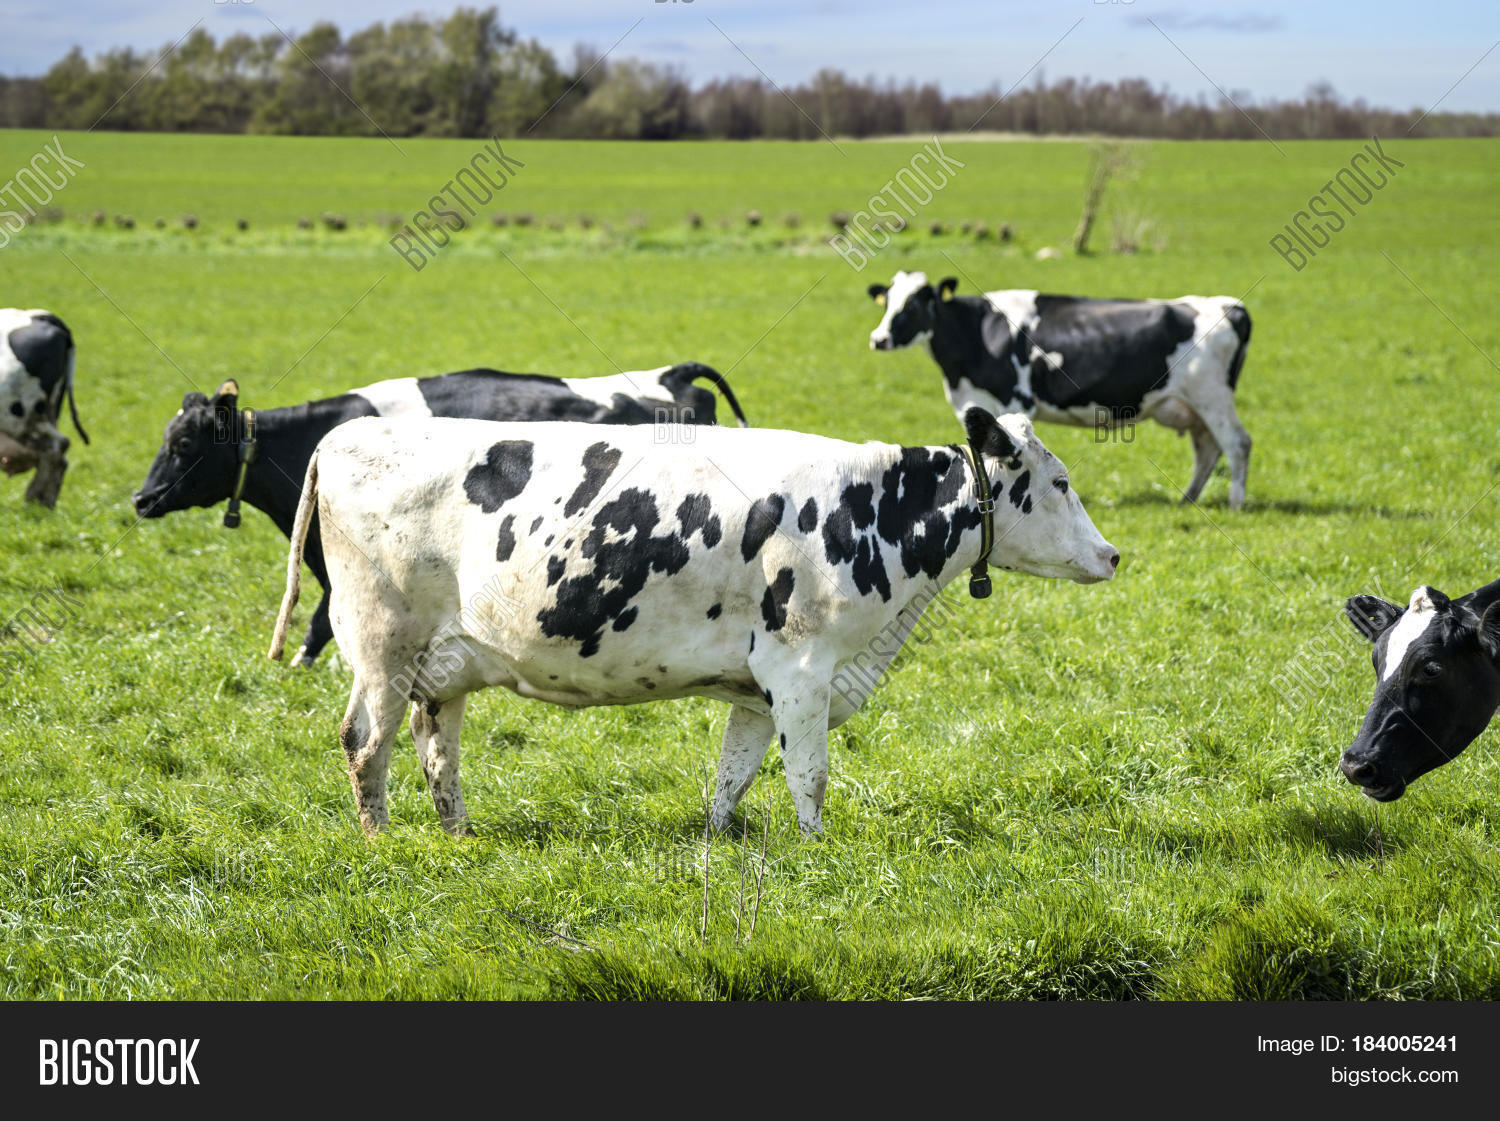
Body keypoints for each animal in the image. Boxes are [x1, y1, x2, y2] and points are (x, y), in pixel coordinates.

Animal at [267, 406, 1119, 837]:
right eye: (1059, 481)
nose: (1111, 555)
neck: (871, 509)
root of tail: (346, 434)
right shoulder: (802, 668)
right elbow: (810, 774)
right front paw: (815, 852)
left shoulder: (760, 686)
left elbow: (733, 774)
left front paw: (716, 839)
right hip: (383, 643)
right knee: (365, 740)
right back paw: (381, 839)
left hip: (445, 659)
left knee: (434, 743)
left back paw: (456, 834)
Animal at [866, 271, 1253, 508]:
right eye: (888, 300)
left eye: (915, 303)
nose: (879, 338)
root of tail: (1227, 304)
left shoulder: (1013, 398)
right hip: (1196, 406)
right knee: (1207, 449)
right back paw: (1187, 499)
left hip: (1212, 397)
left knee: (1237, 443)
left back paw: (1235, 503)